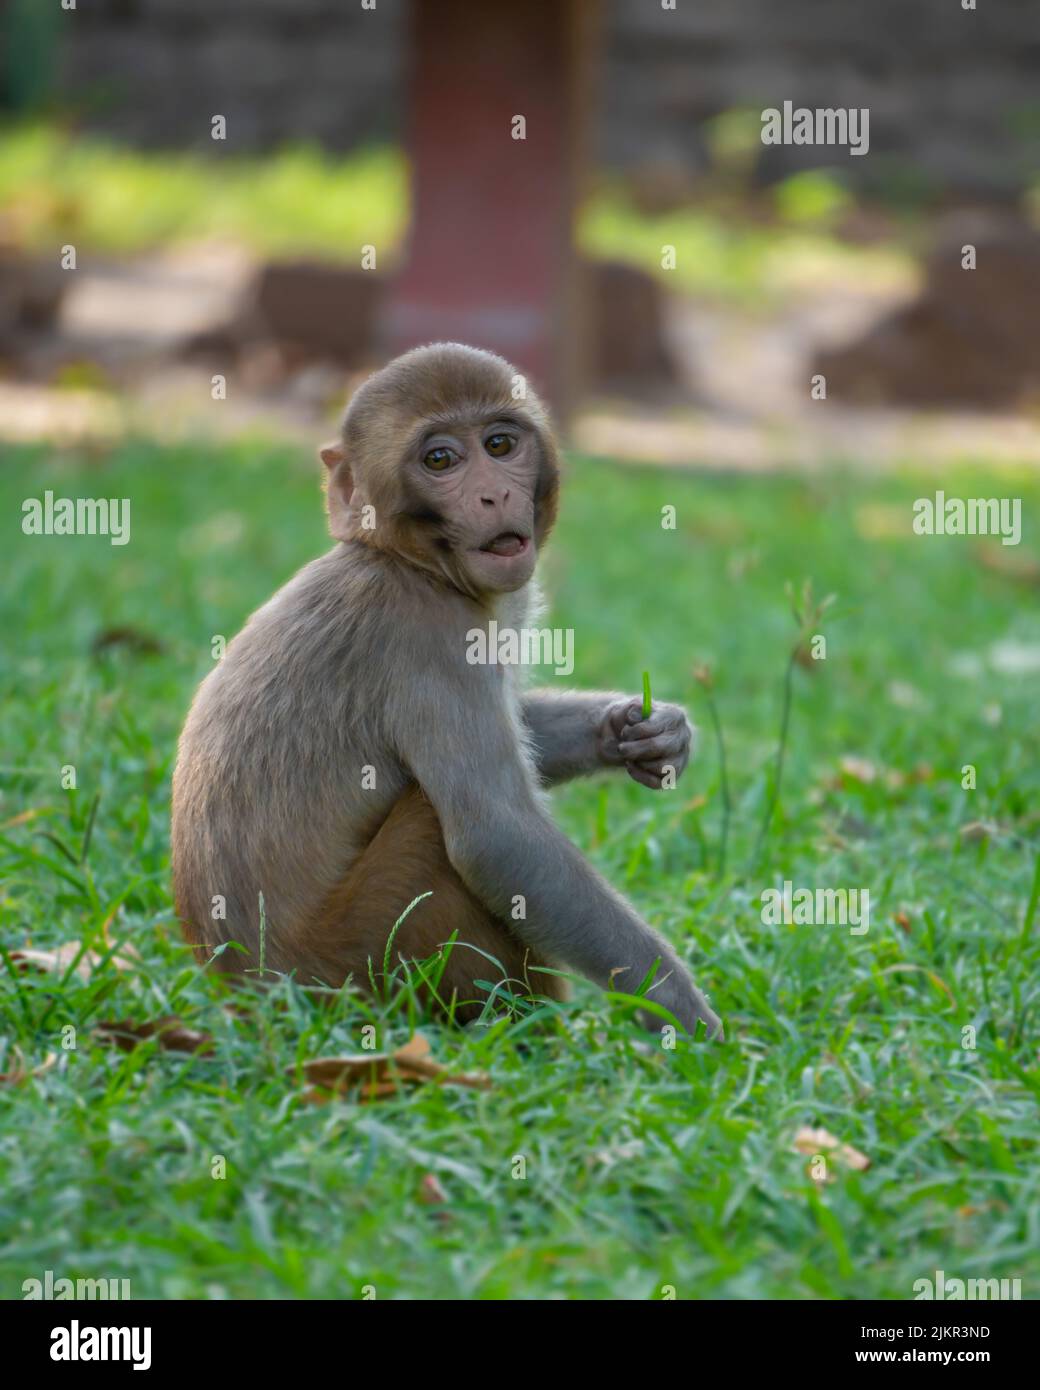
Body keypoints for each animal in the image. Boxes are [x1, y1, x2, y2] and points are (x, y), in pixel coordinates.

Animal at [171, 343, 722, 1038]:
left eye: (500, 444)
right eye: (440, 460)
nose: (494, 494)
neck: (402, 559)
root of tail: (245, 1001)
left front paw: (642, 732)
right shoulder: (427, 634)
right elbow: (498, 836)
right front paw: (687, 1018)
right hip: (359, 962)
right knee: (432, 825)